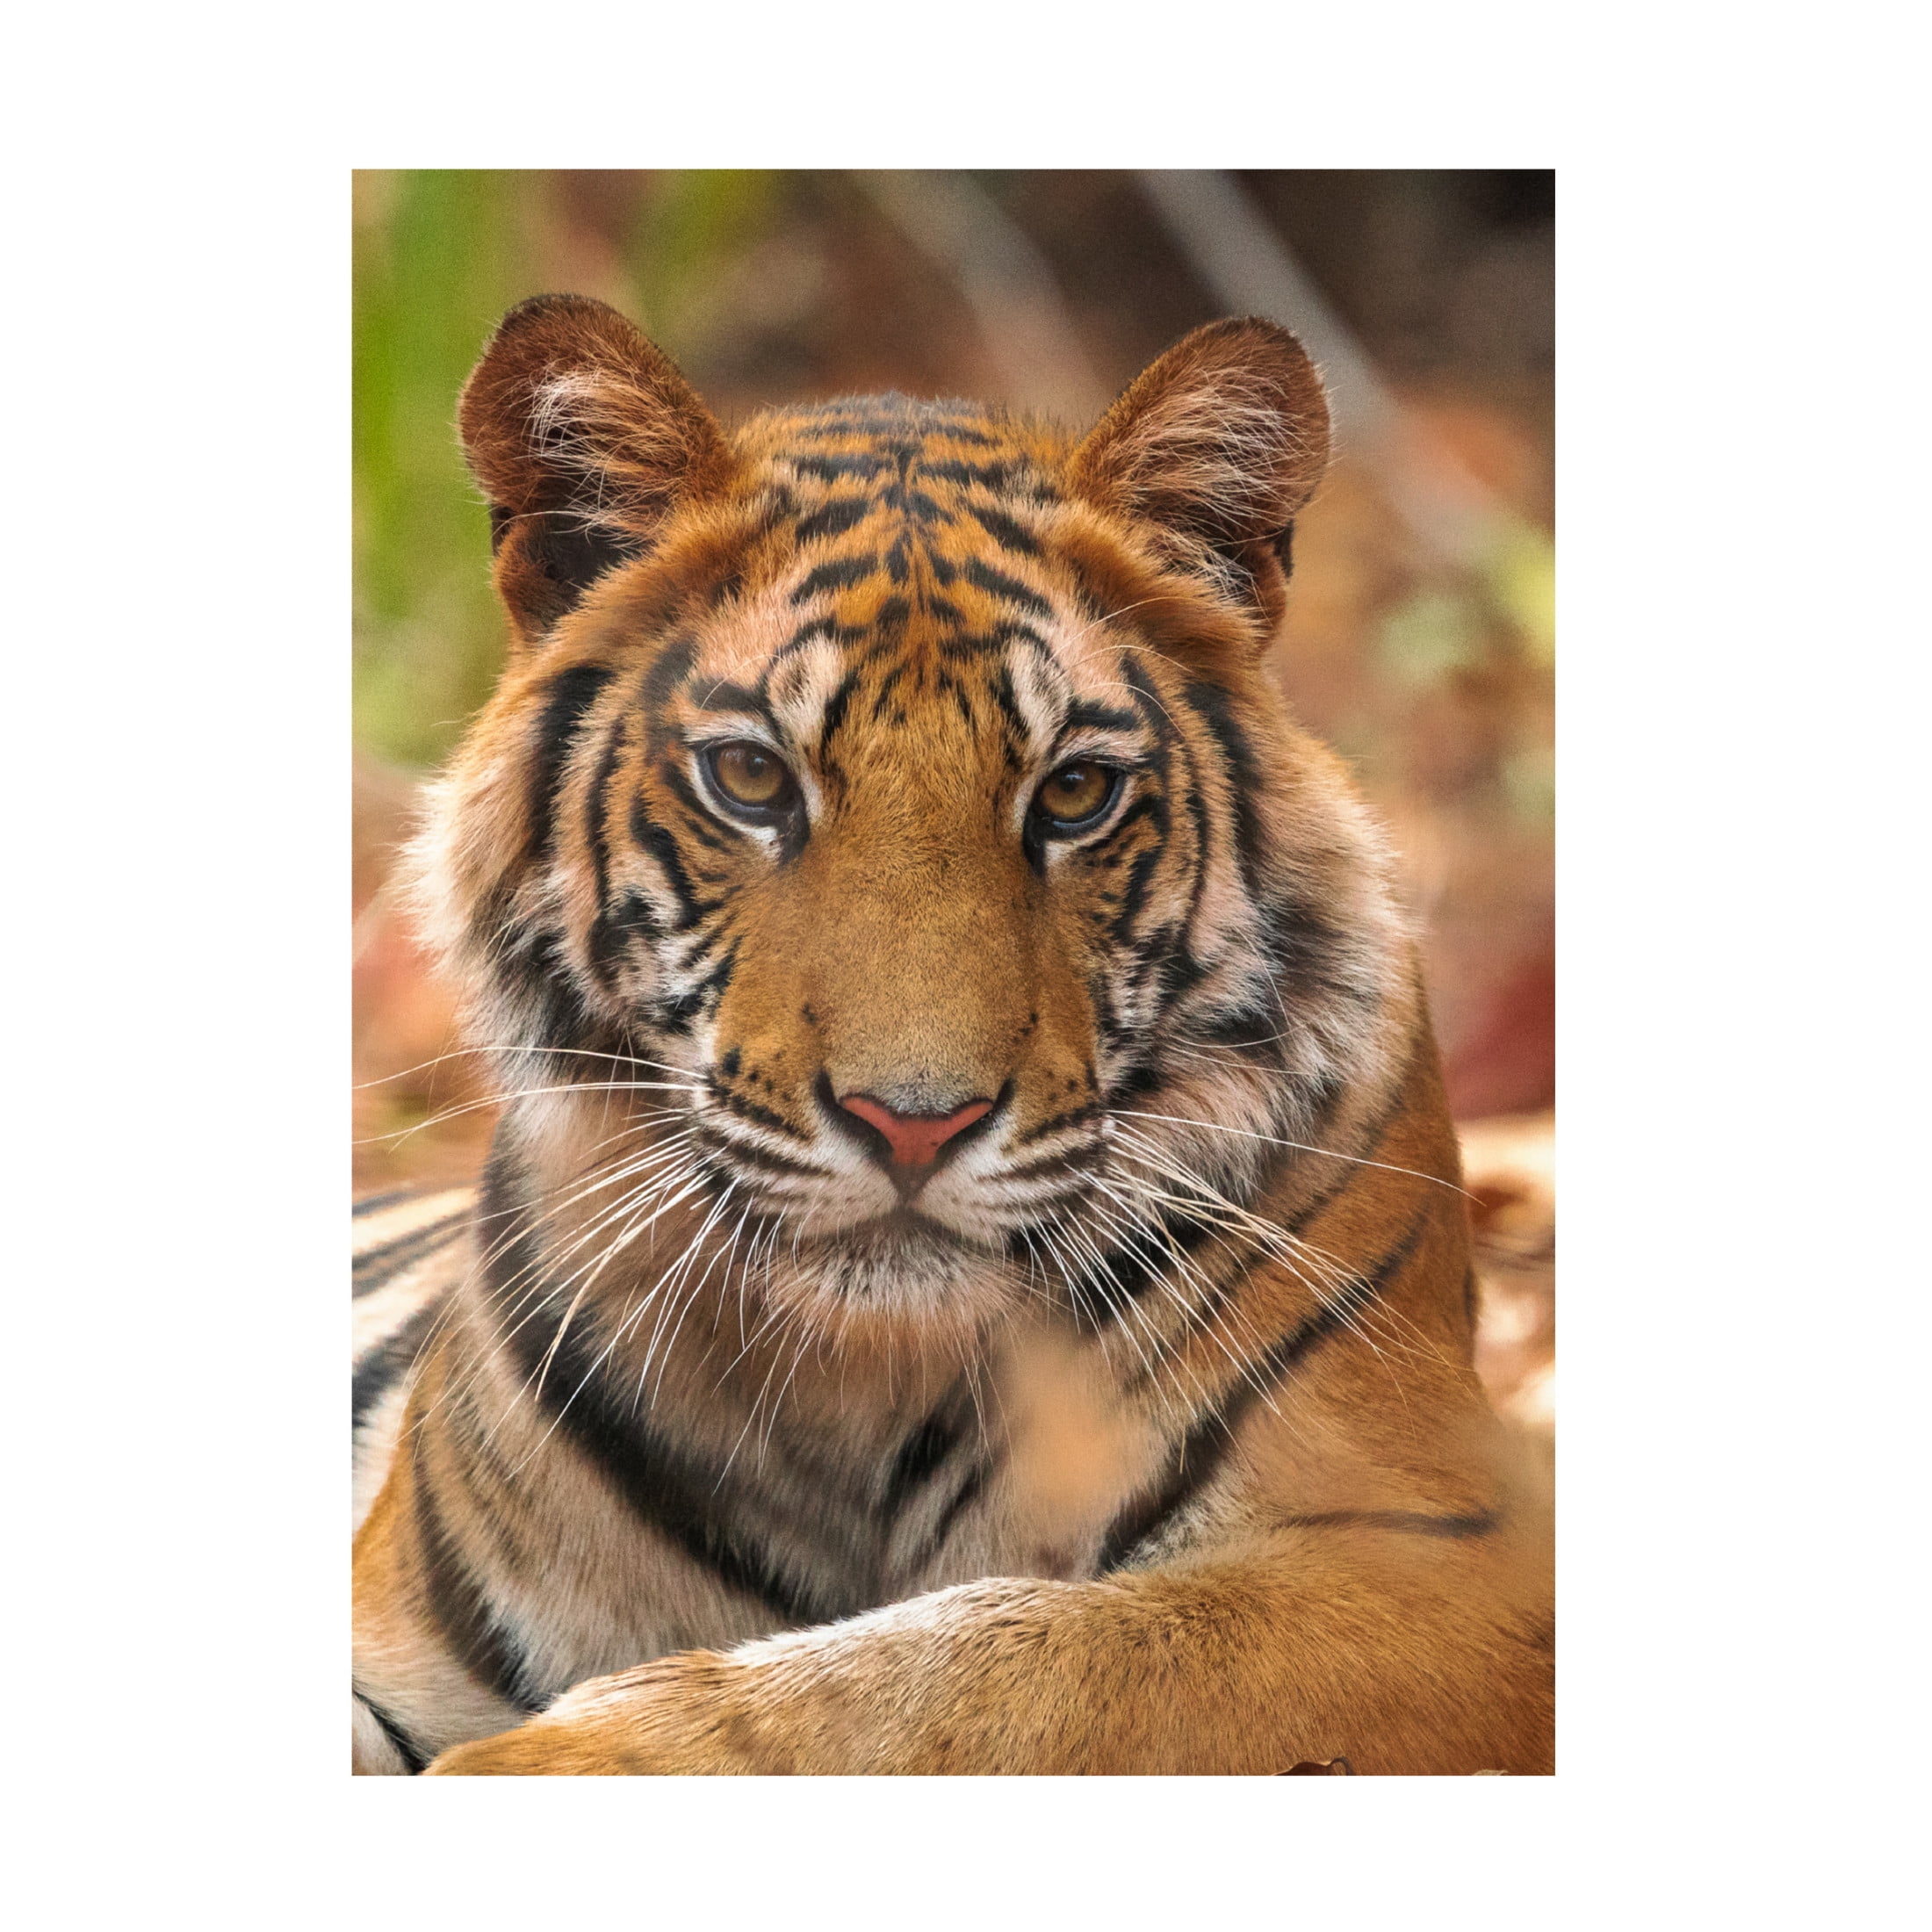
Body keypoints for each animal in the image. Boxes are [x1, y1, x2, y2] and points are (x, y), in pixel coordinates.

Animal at [351, 293, 1554, 1776]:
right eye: (749, 778)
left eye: (1077, 793)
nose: (912, 1125)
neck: (861, 1383)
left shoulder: (1446, 1560)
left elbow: (1012, 1659)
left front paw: (564, 1757)